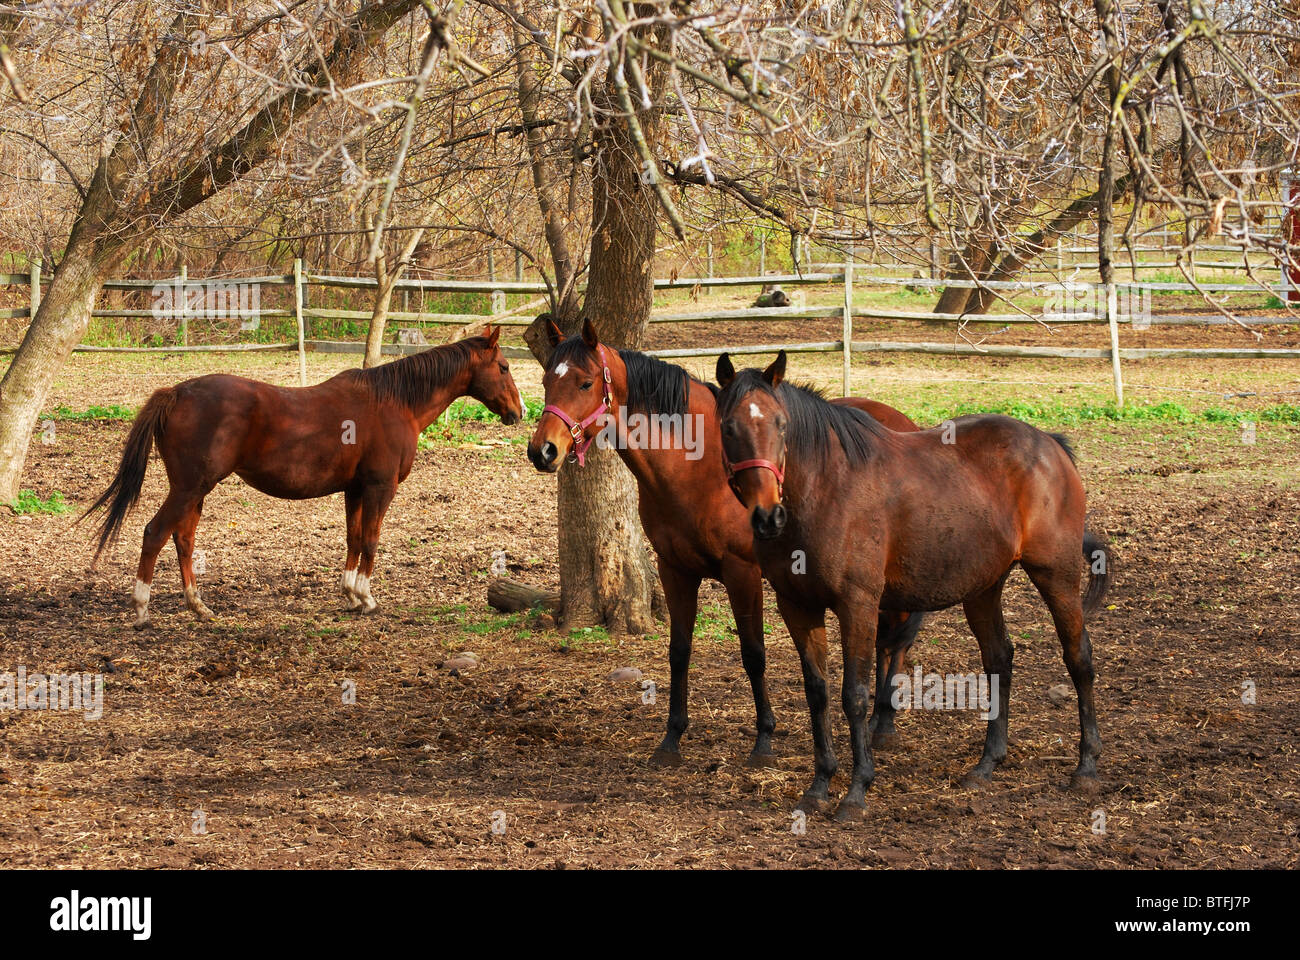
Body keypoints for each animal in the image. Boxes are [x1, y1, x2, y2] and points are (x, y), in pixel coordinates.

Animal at [84, 327, 523, 628]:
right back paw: (142, 608)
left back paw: (198, 605)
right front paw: (367, 598)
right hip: (189, 488)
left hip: (196, 491)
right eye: (503, 367)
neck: (395, 403)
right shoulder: (380, 488)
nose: (518, 412)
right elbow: (371, 540)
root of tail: (176, 392)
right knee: (155, 534)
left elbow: (353, 539)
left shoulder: (355, 489)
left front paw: (350, 595)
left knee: (183, 541)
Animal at [526, 318, 925, 766]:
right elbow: (679, 651)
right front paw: (672, 738)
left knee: (898, 638)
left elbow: (753, 654)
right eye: (546, 380)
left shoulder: (742, 572)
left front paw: (764, 739)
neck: (699, 467)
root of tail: (904, 423)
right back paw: (876, 719)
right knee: (888, 637)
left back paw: (883, 723)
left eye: (585, 383)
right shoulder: (674, 569)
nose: (543, 451)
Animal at [714, 351, 1109, 820]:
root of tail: (1049, 443)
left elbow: (855, 695)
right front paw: (820, 783)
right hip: (983, 587)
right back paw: (987, 764)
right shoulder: (797, 606)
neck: (825, 488)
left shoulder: (858, 605)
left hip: (1057, 574)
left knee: (1079, 658)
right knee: (999, 657)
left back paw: (1086, 767)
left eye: (780, 424)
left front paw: (856, 790)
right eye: (729, 427)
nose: (767, 516)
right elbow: (817, 693)